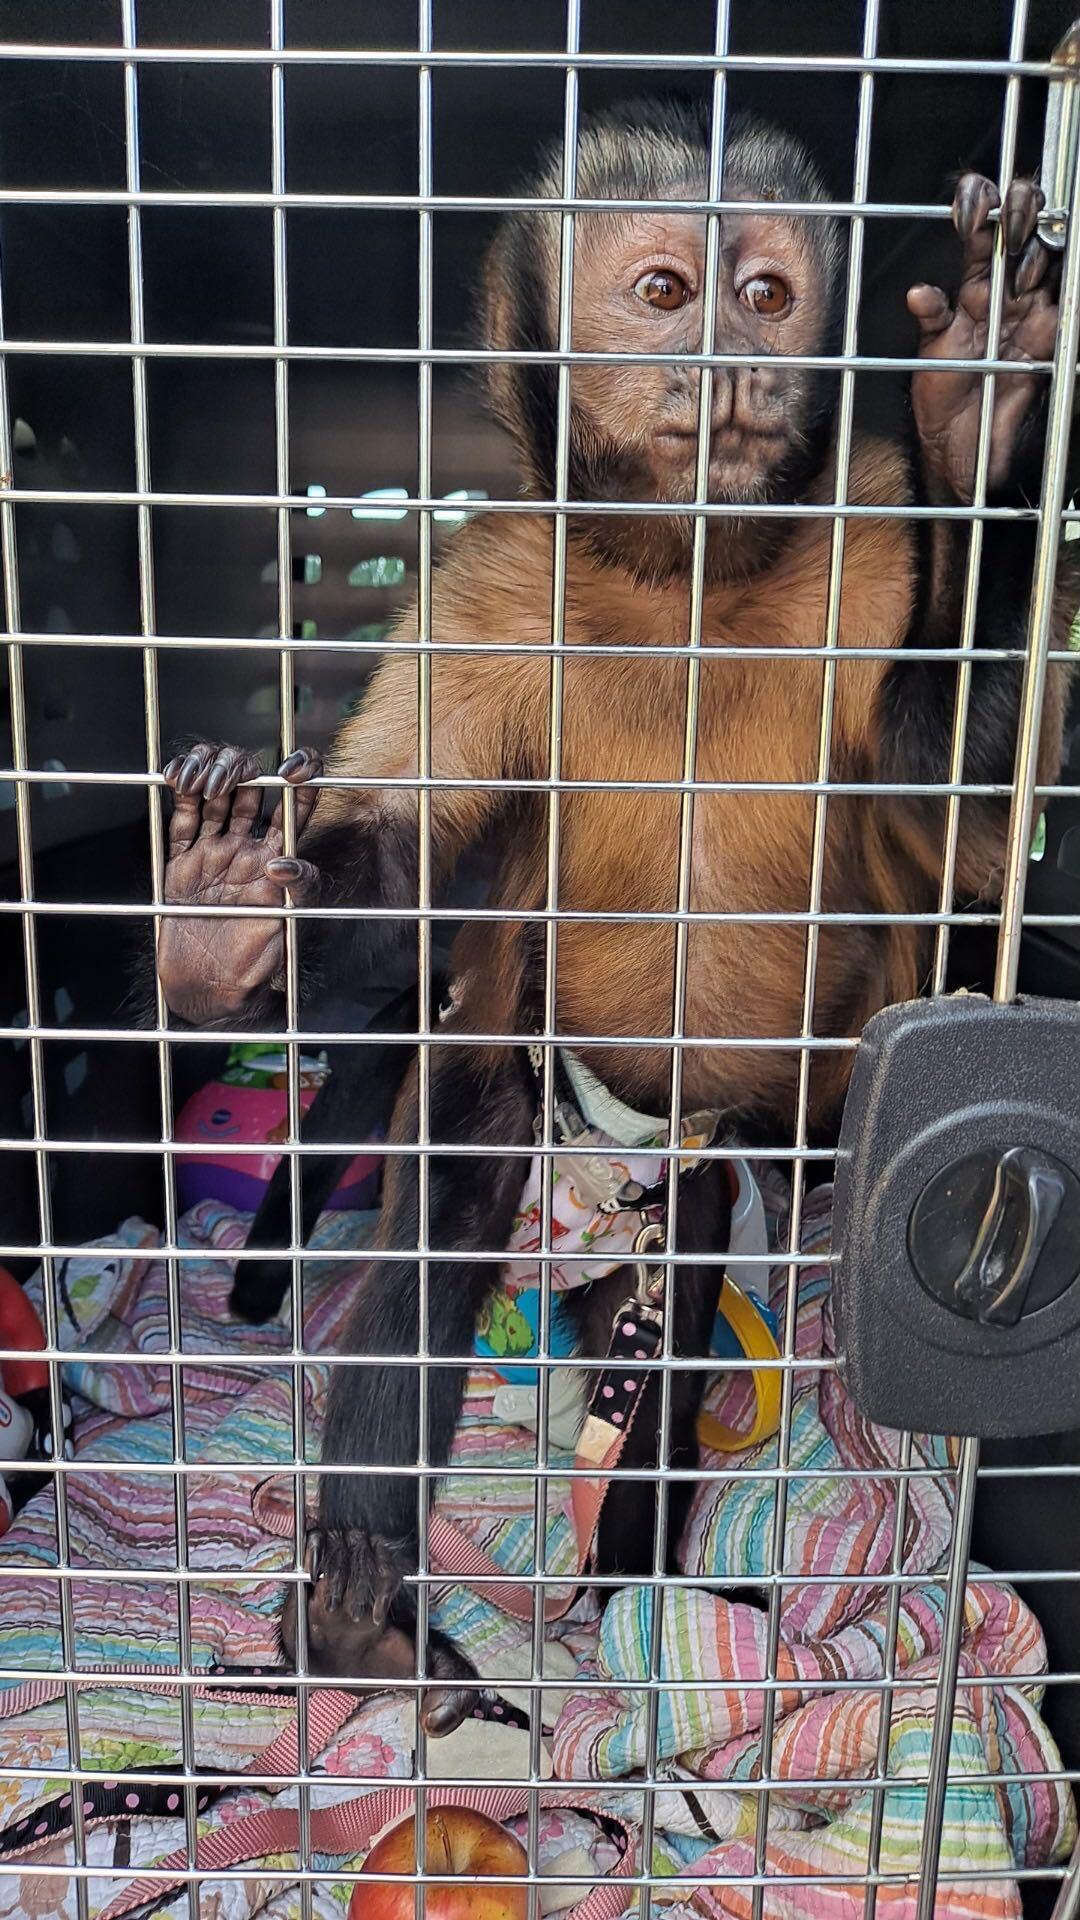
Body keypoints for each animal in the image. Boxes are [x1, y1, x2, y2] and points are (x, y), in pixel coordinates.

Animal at [153, 101, 1076, 1734]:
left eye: (765, 297)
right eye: (664, 294)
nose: (733, 363)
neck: (682, 567)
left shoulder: (867, 534)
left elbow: (960, 810)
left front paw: (983, 405)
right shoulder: (493, 580)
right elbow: (405, 869)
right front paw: (229, 929)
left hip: (727, 1150)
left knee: (685, 1300)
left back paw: (637, 1582)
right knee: (456, 1185)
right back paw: (363, 1608)